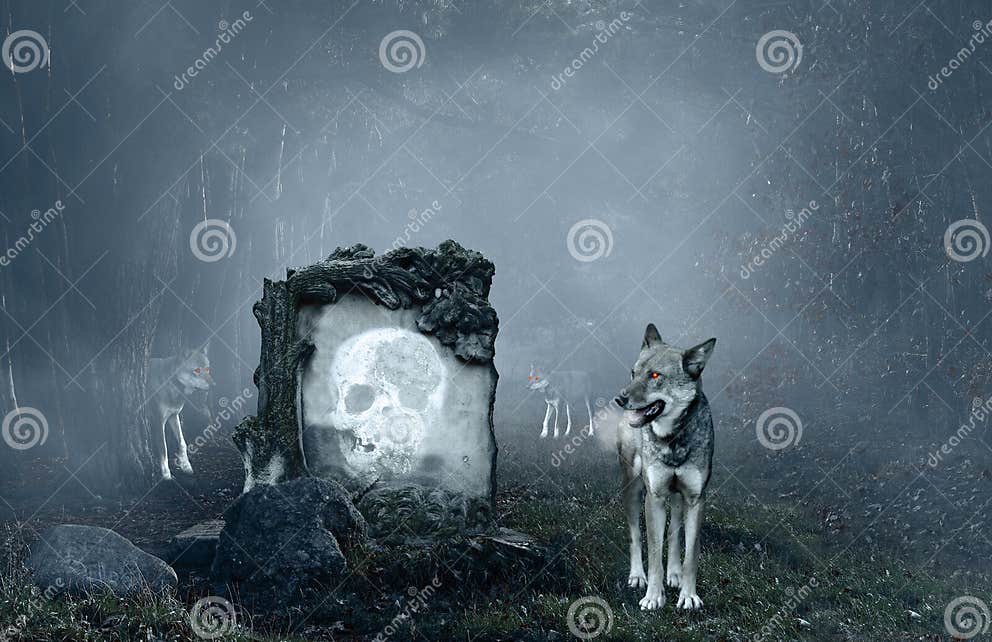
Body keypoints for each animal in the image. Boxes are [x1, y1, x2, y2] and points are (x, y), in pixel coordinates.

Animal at [148, 346, 213, 480]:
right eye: (197, 370)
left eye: (207, 369)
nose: (214, 384)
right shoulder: (158, 421)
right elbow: (163, 448)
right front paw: (166, 475)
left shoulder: (173, 416)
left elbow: (183, 443)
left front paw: (186, 466)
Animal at [614, 324, 716, 611]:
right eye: (634, 372)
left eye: (655, 375)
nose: (619, 398)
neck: (673, 440)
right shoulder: (655, 497)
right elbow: (652, 551)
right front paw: (652, 596)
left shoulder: (695, 499)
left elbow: (690, 554)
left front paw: (688, 595)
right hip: (632, 490)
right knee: (636, 536)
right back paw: (638, 576)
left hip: (678, 499)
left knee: (673, 535)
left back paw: (674, 574)